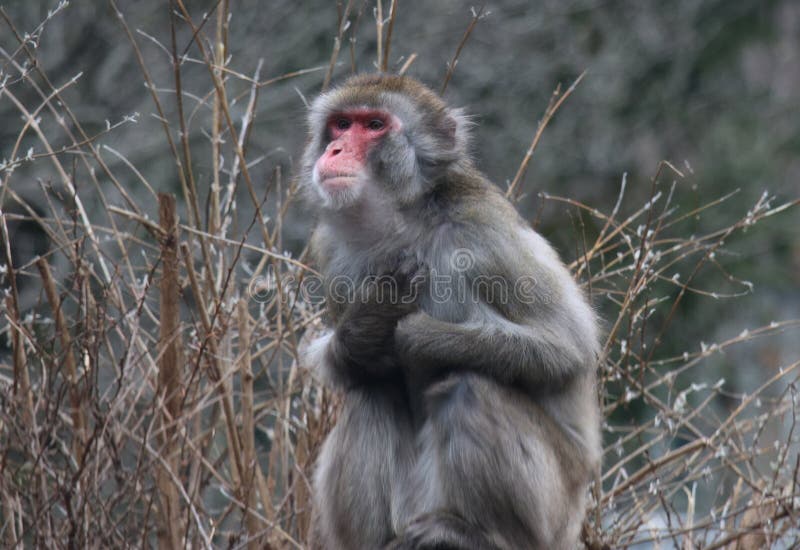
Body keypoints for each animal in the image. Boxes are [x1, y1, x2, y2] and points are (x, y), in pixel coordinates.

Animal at [300, 74, 601, 550]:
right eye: (341, 124)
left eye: (374, 125)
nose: (335, 150)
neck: (403, 222)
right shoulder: (331, 252)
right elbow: (347, 366)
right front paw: (368, 328)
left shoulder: (483, 231)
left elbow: (567, 349)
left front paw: (419, 338)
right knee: (370, 395)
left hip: (555, 512)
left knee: (469, 388)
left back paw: (479, 534)